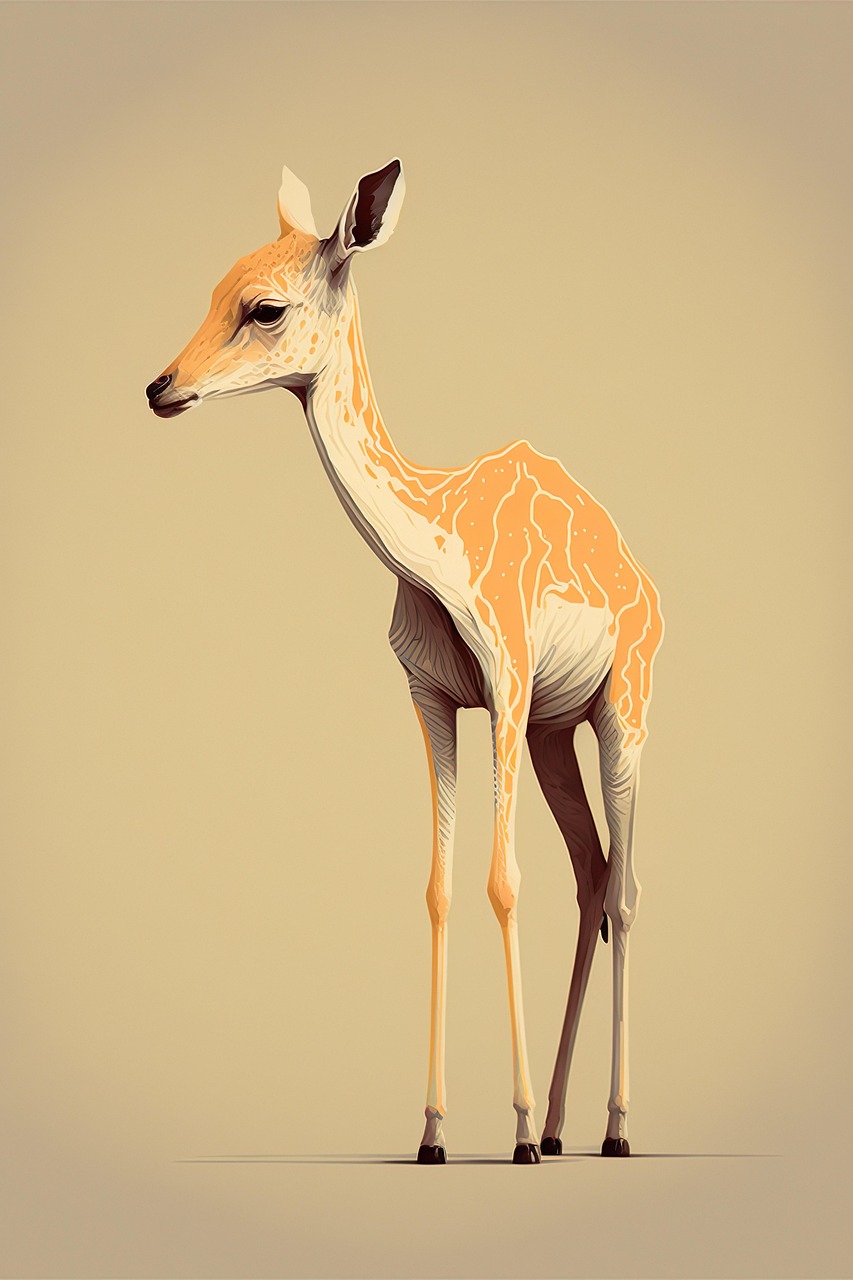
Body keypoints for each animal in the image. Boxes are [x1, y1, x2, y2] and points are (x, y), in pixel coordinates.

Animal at [146, 159, 663, 1164]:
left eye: (263, 308)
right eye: (214, 287)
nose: (159, 387)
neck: (439, 545)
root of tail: (641, 579)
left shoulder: (504, 686)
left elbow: (504, 882)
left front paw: (513, 1138)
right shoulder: (432, 698)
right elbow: (440, 887)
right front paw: (432, 1133)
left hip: (623, 710)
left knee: (623, 890)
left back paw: (614, 1128)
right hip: (554, 732)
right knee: (590, 874)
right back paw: (563, 1121)